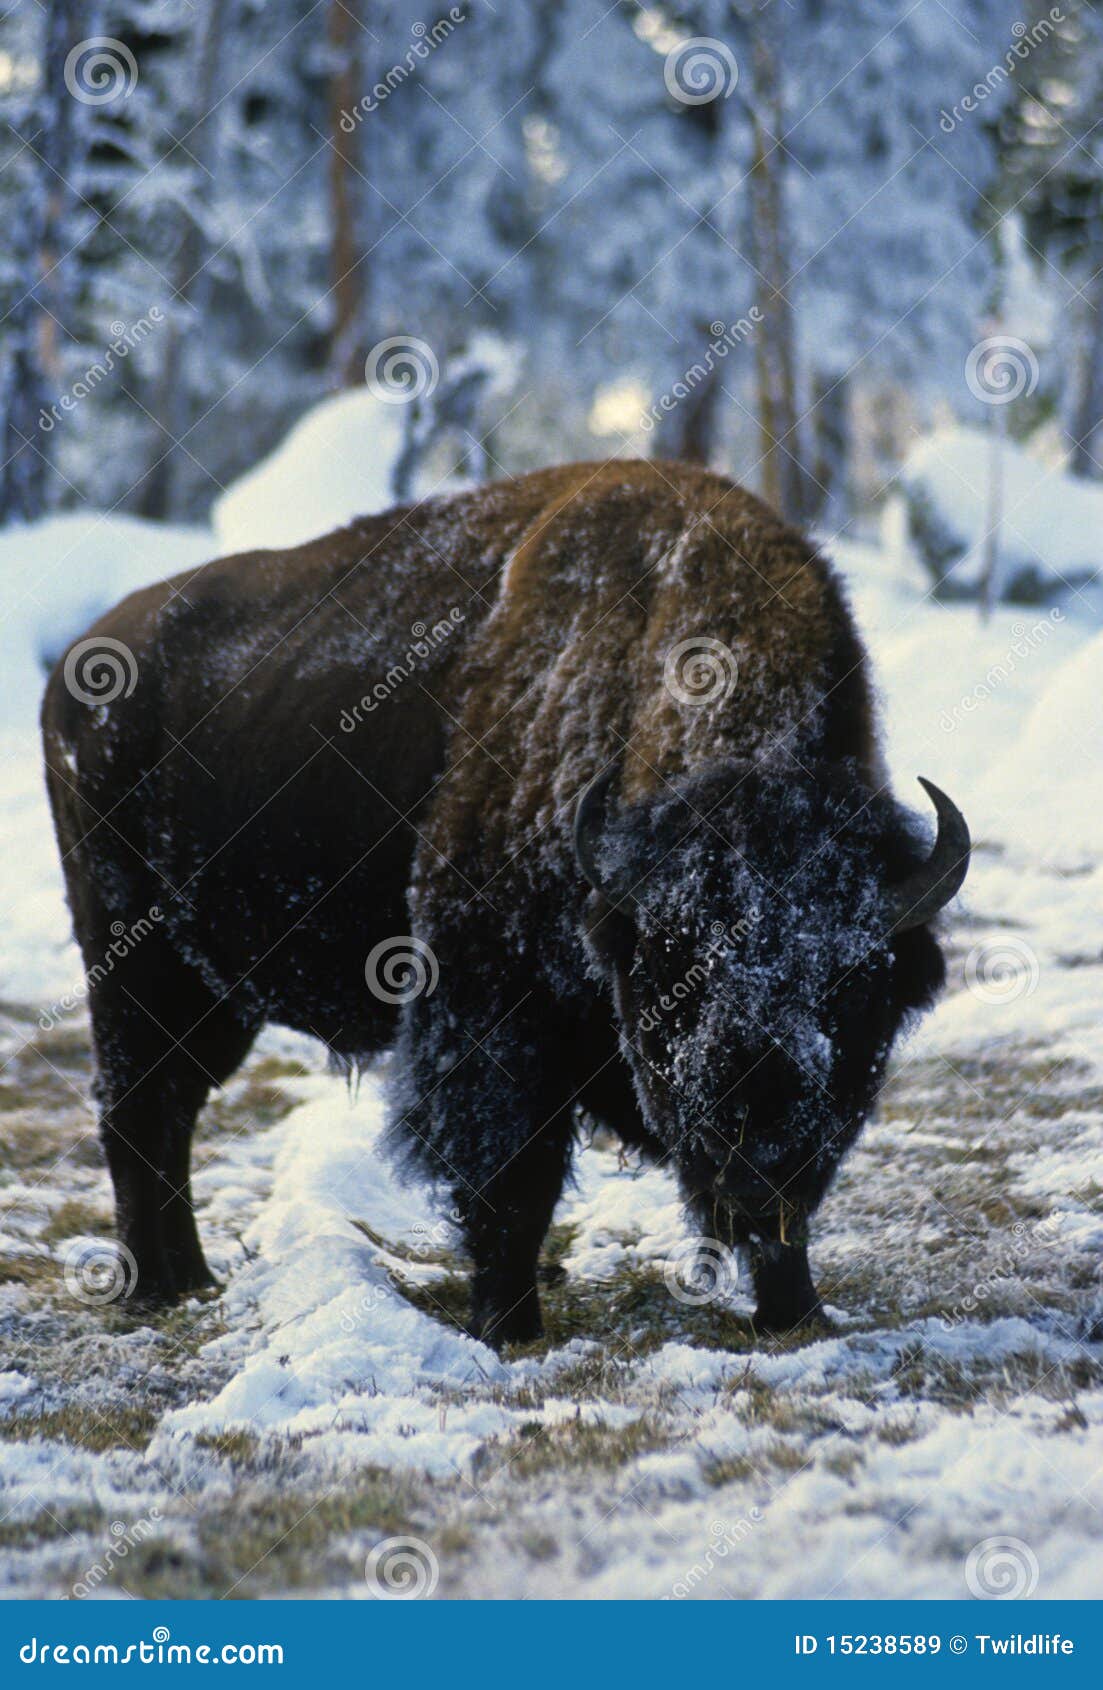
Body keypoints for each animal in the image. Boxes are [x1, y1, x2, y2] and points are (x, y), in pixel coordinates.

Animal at [41, 460, 968, 1345]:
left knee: (173, 1108)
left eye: (853, 977)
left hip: (216, 996)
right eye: (674, 957)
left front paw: (794, 1313)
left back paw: (191, 1277)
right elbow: (513, 1181)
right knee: (135, 1107)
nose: (755, 1118)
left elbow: (785, 1221)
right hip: (128, 962)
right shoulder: (494, 1018)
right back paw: (153, 1288)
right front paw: (507, 1325)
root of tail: (78, 670)